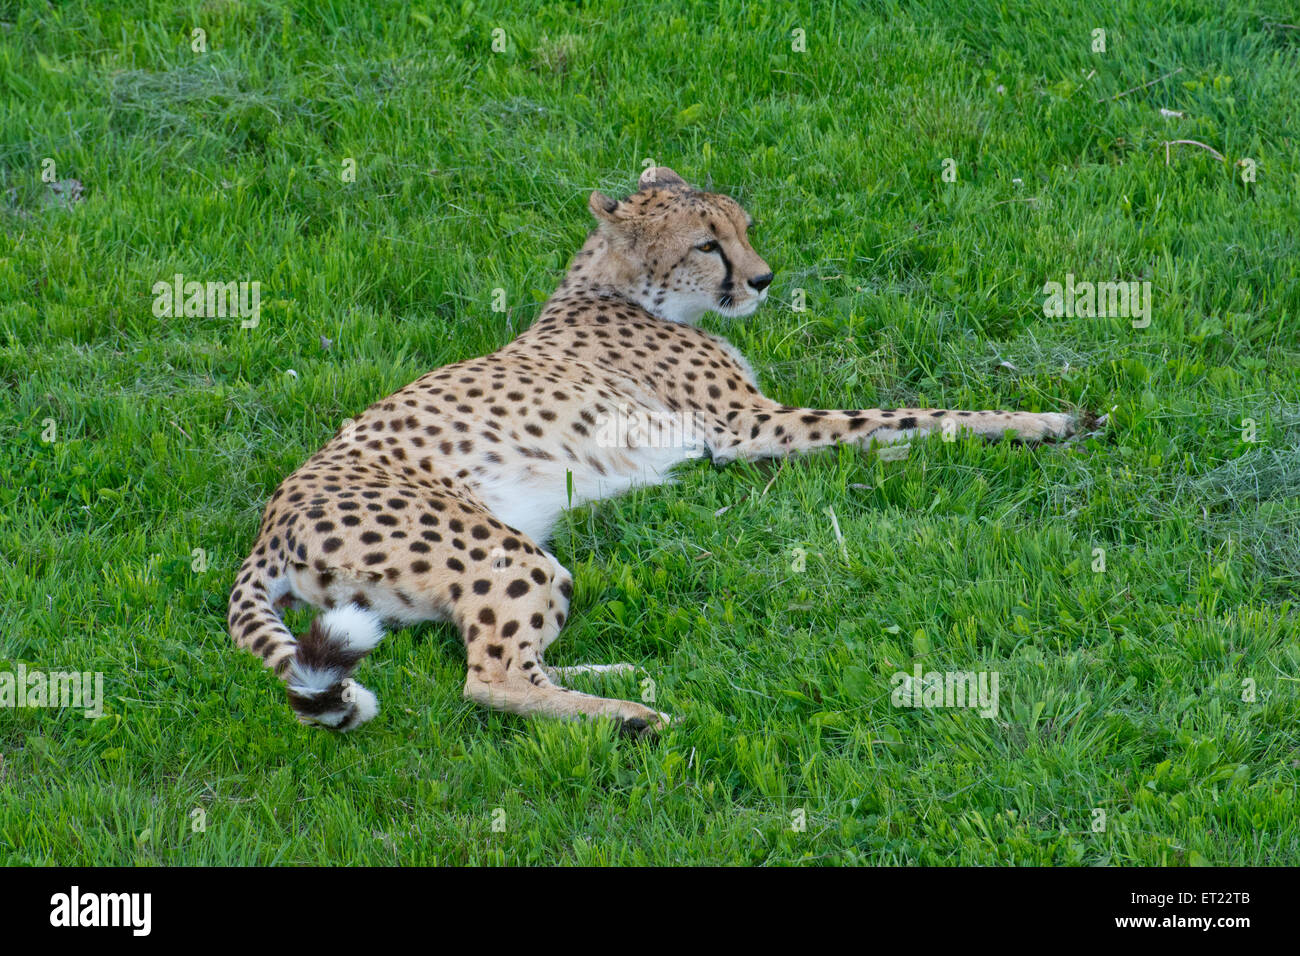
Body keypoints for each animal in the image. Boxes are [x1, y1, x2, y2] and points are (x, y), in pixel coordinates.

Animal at [227, 165, 1076, 736]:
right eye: (707, 243)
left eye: (743, 226)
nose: (764, 279)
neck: (613, 285)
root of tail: (273, 517)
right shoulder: (751, 428)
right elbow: (904, 414)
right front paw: (1040, 421)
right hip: (501, 552)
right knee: (490, 678)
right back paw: (631, 716)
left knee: (510, 657)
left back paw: (618, 677)